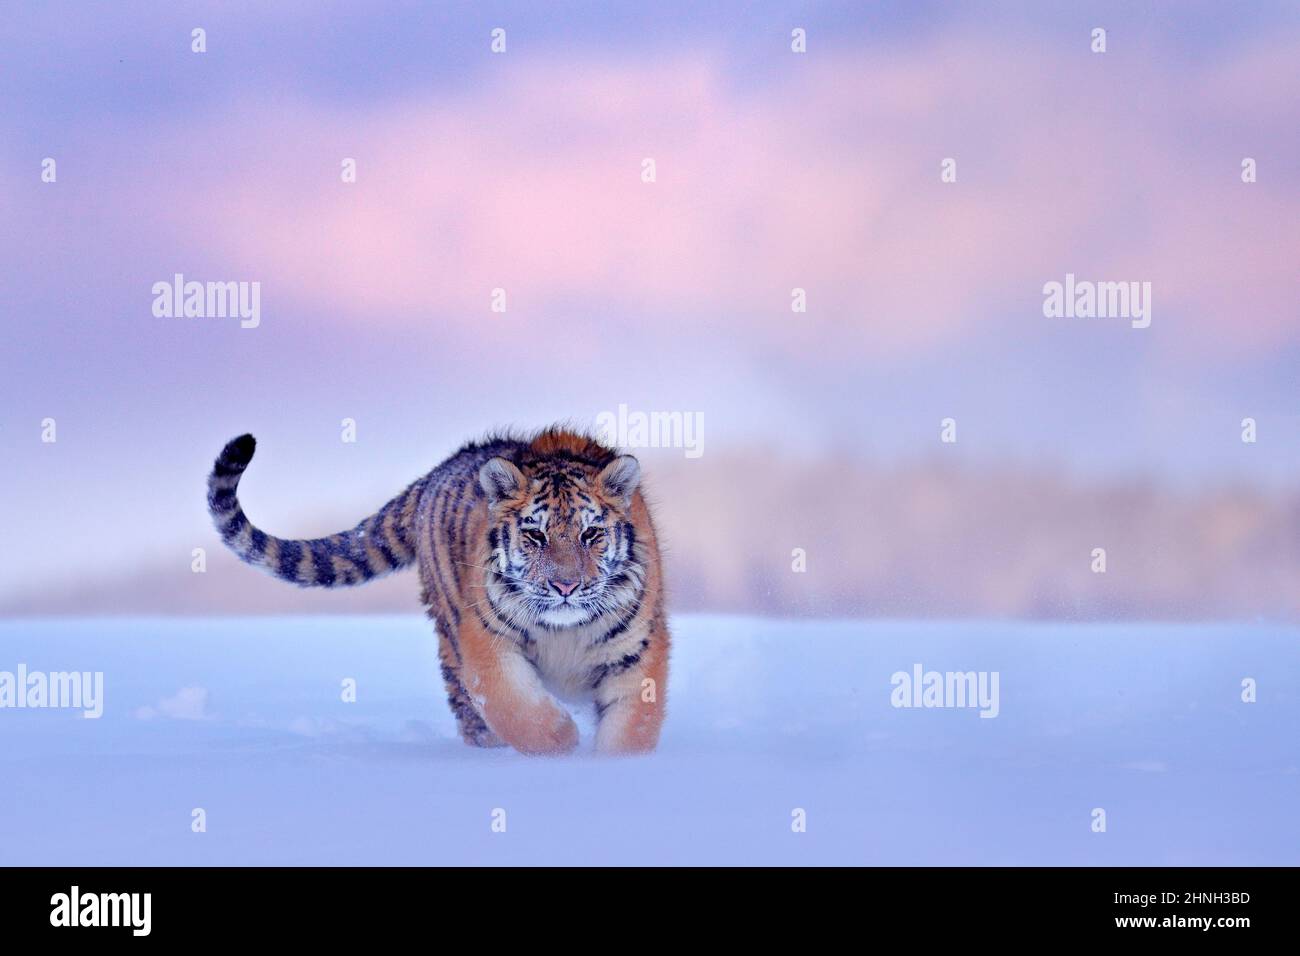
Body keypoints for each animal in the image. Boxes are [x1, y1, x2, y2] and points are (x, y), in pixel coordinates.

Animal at [206, 428, 669, 755]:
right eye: (535, 535)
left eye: (591, 534)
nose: (565, 585)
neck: (564, 631)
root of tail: (436, 471)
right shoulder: (484, 641)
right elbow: (518, 711)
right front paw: (562, 745)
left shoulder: (636, 648)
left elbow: (632, 727)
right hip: (449, 633)